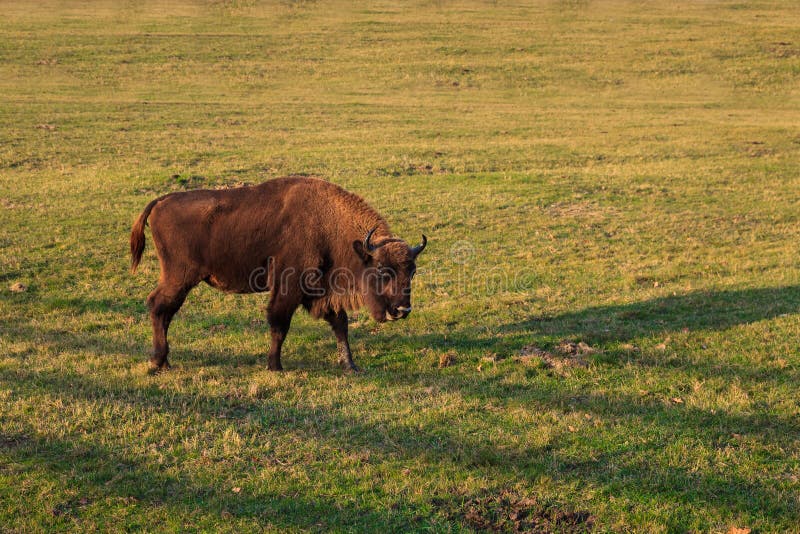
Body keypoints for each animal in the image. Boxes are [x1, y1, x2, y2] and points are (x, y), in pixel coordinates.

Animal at [130, 176, 427, 372]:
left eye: (411, 272)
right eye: (382, 270)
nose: (402, 310)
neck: (327, 224)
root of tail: (161, 201)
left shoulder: (321, 291)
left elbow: (340, 324)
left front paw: (350, 365)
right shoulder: (288, 288)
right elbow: (279, 324)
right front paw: (275, 366)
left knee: (163, 310)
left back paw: (164, 361)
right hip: (179, 278)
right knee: (159, 307)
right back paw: (158, 361)